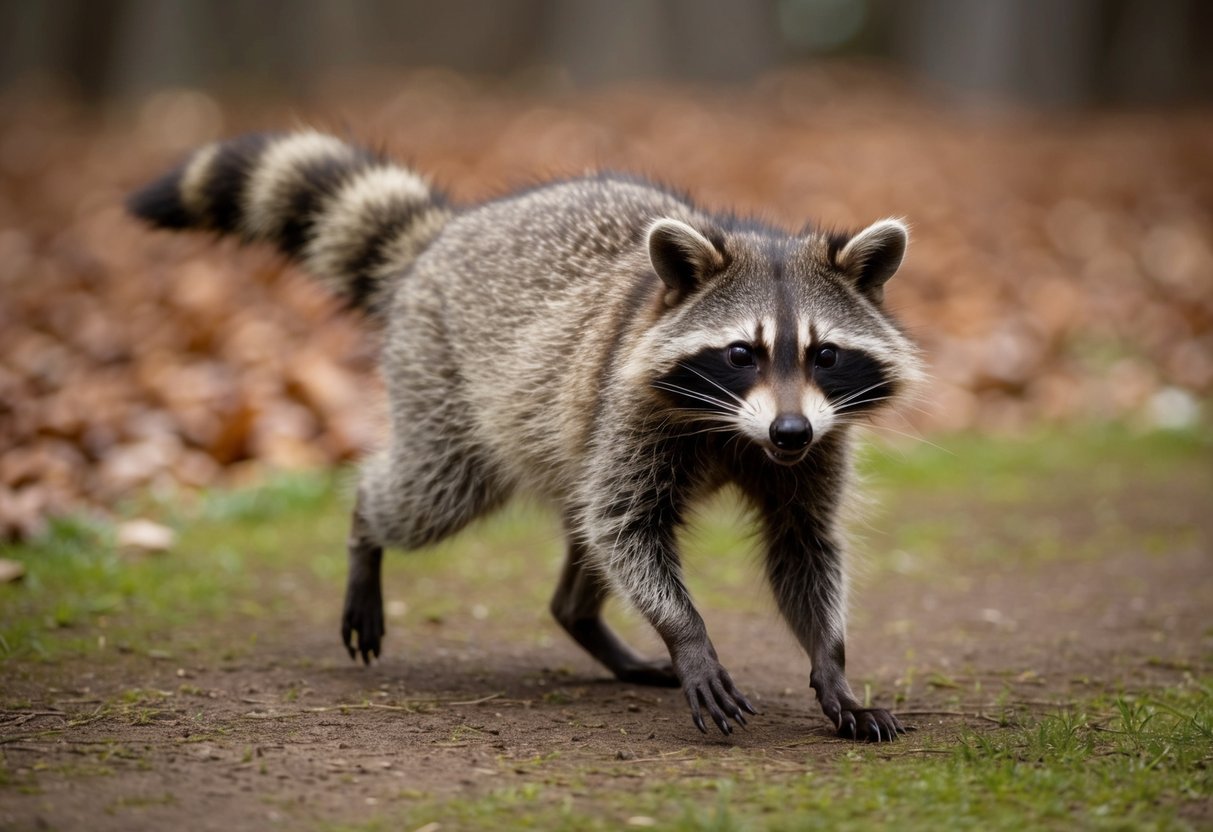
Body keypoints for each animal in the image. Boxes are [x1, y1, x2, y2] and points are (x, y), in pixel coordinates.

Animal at [129, 130, 924, 741]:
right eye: (740, 354)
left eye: (825, 354)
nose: (788, 431)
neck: (739, 431)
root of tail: (444, 236)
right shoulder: (631, 408)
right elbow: (627, 530)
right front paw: (689, 635)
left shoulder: (818, 440)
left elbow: (801, 545)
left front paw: (832, 666)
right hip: (447, 386)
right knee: (434, 496)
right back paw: (366, 527)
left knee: (583, 528)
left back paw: (580, 616)